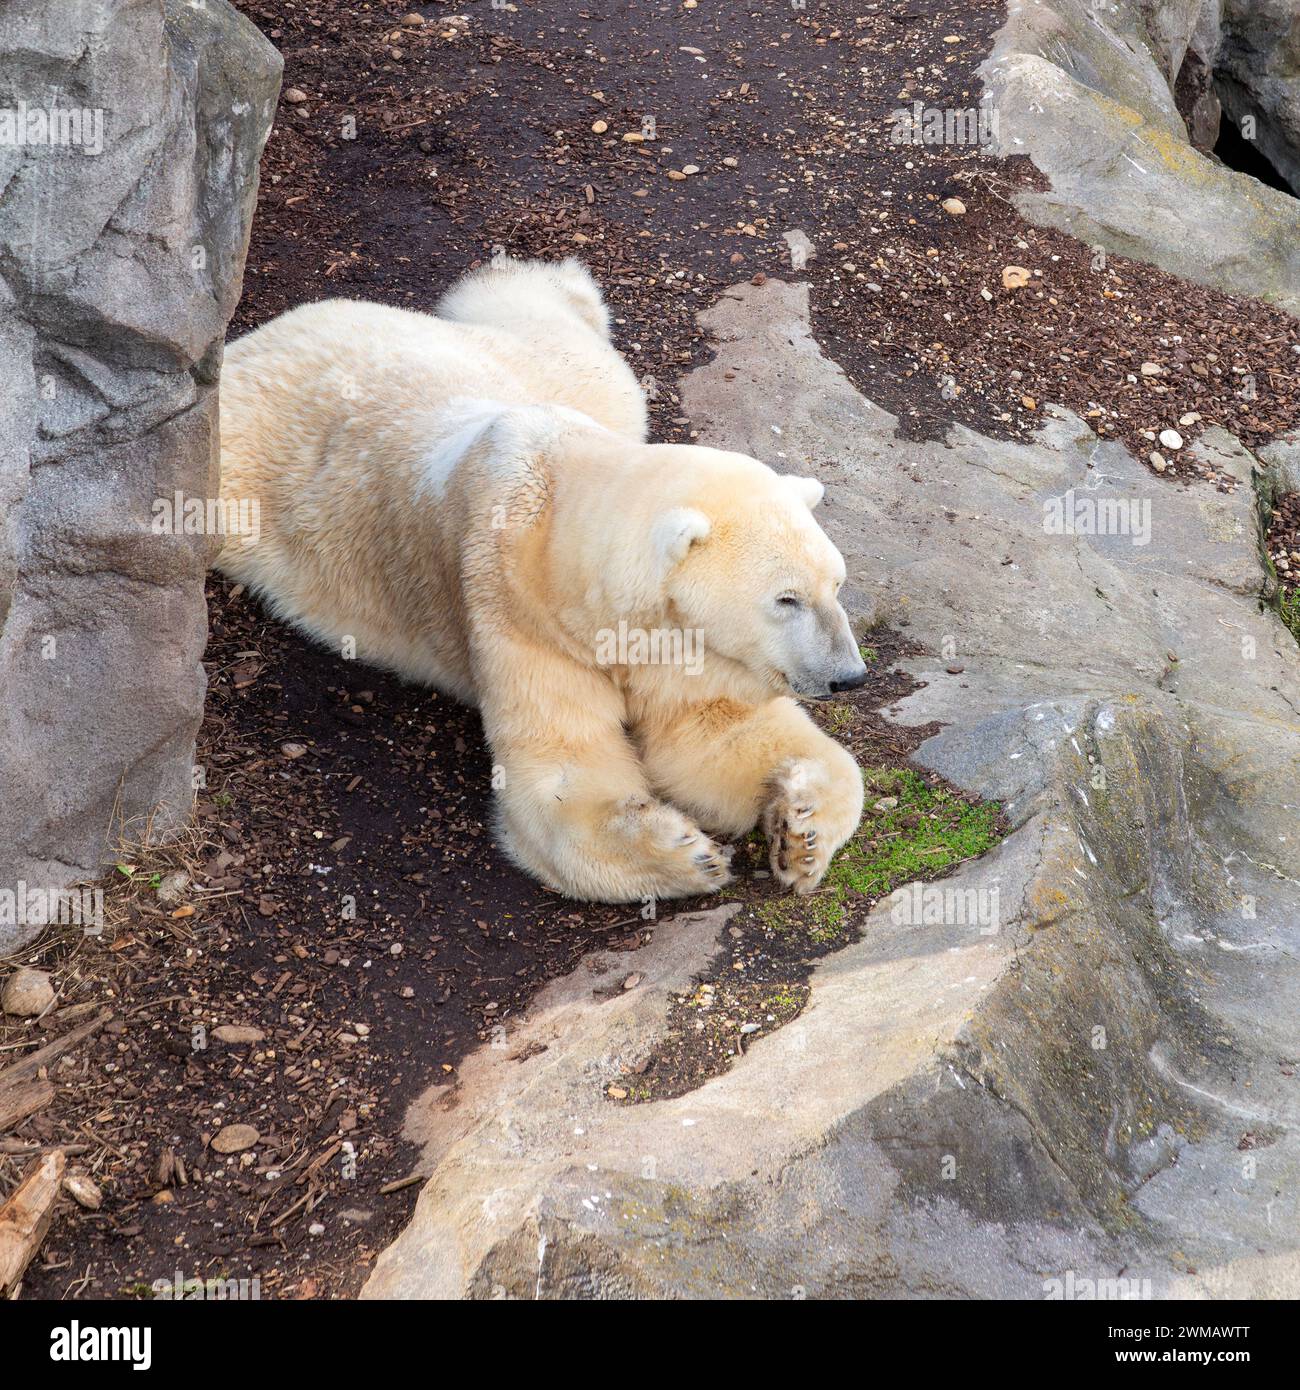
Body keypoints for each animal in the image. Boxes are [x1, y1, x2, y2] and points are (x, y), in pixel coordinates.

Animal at [216, 256, 868, 903]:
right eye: (785, 599)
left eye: (836, 586)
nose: (850, 677)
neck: (555, 508)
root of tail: (262, 338)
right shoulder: (516, 610)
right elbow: (560, 765)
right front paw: (685, 852)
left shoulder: (675, 646)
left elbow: (716, 732)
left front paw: (801, 833)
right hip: (243, 474)